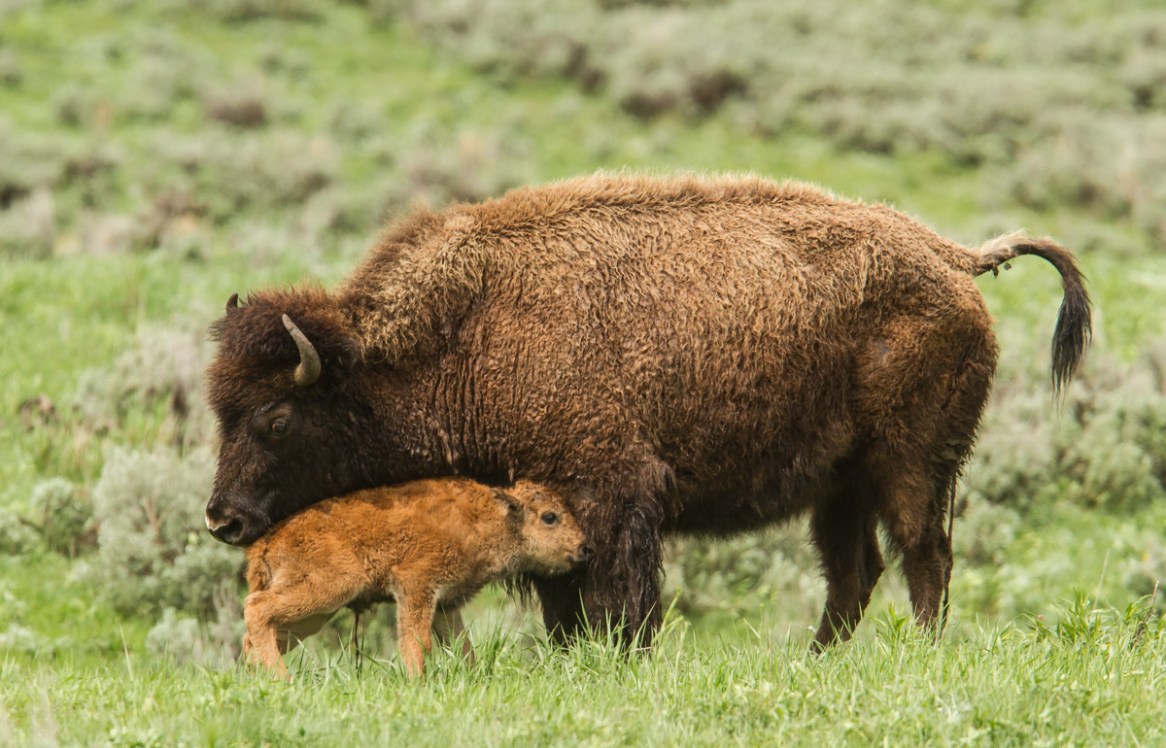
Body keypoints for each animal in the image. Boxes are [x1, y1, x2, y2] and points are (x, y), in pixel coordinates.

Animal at [205, 173, 1090, 648]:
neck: (467, 329)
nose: (223, 518)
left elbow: (619, 601)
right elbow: (564, 604)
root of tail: (950, 256)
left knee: (923, 554)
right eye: (219, 410)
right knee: (855, 573)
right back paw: (815, 663)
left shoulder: (615, 496)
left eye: (277, 418)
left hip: (911, 463)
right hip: (838, 487)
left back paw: (922, 653)